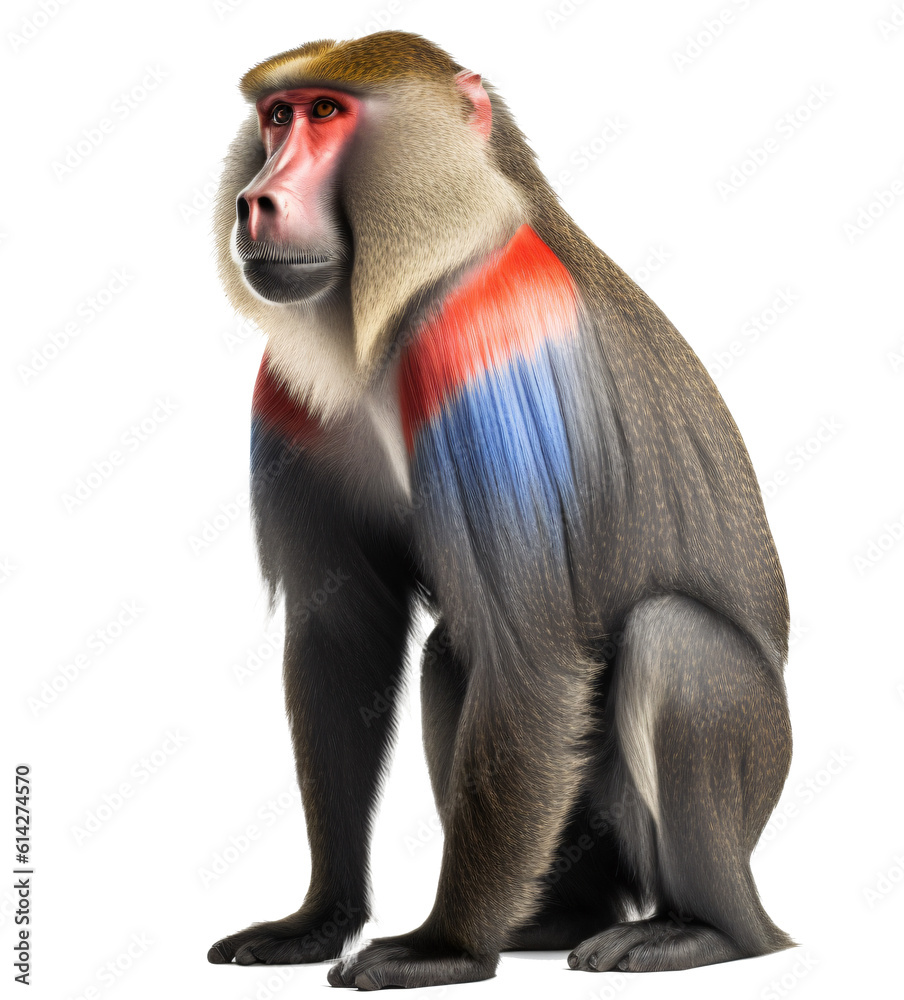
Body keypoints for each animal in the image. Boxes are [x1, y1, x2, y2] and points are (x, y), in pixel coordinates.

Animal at [206, 31, 793, 990]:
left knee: (668, 642)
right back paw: (554, 918)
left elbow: (534, 649)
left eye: (327, 111)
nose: (258, 198)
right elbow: (343, 634)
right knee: (453, 652)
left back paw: (700, 931)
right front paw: (317, 921)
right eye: (276, 115)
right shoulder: (293, 389)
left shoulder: (485, 345)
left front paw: (441, 947)